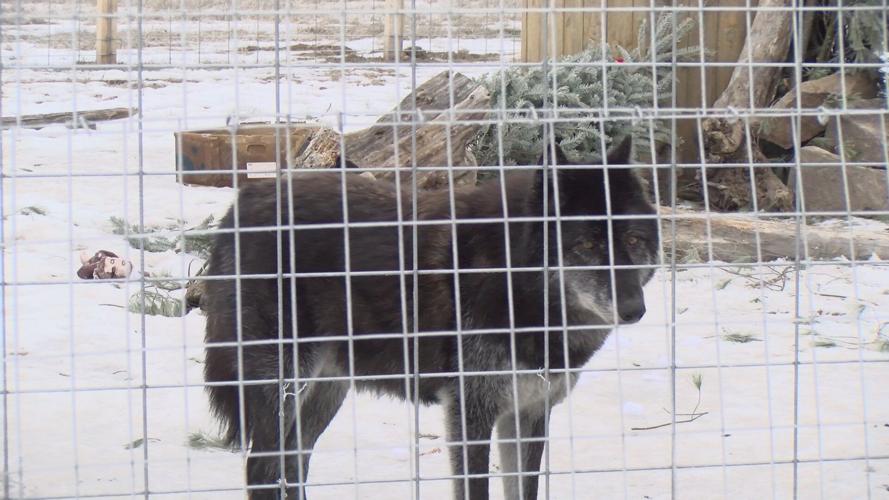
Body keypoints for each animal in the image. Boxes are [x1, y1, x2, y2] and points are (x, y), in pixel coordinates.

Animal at [203, 137, 660, 500]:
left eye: (634, 240)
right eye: (586, 245)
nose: (635, 310)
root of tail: (240, 205)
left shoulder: (529, 413)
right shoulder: (470, 413)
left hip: (327, 387)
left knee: (293, 461)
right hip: (284, 384)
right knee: (263, 468)